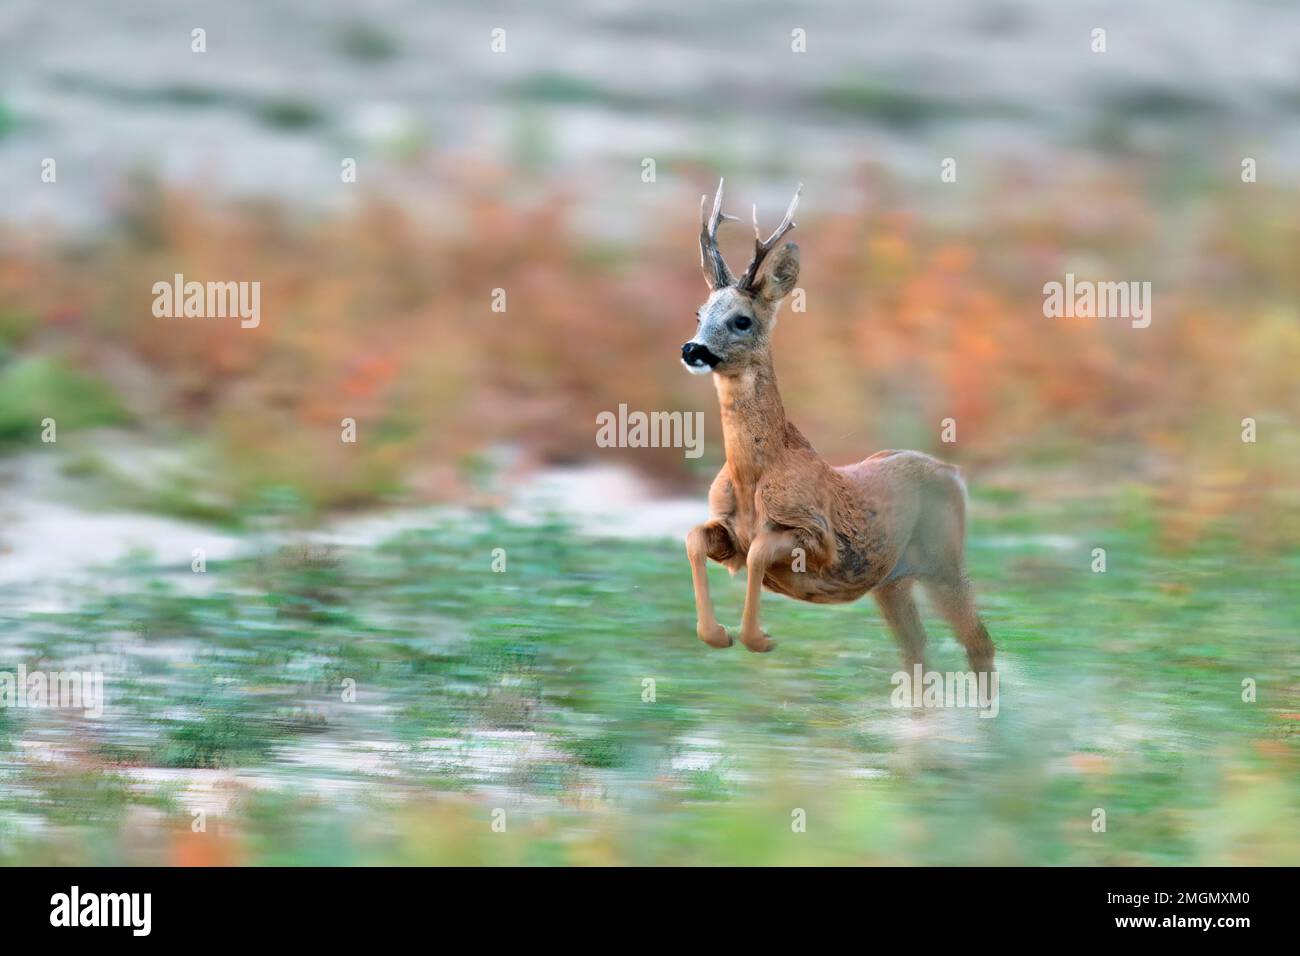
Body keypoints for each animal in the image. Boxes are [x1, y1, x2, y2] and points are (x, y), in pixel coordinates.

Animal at [681, 180, 995, 678]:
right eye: (699, 313)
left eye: (741, 320)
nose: (692, 349)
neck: (754, 477)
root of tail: (955, 474)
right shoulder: (726, 530)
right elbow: (695, 538)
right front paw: (716, 635)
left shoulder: (818, 538)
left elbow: (758, 551)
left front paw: (757, 639)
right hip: (892, 580)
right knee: (917, 650)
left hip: (943, 558)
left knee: (978, 642)